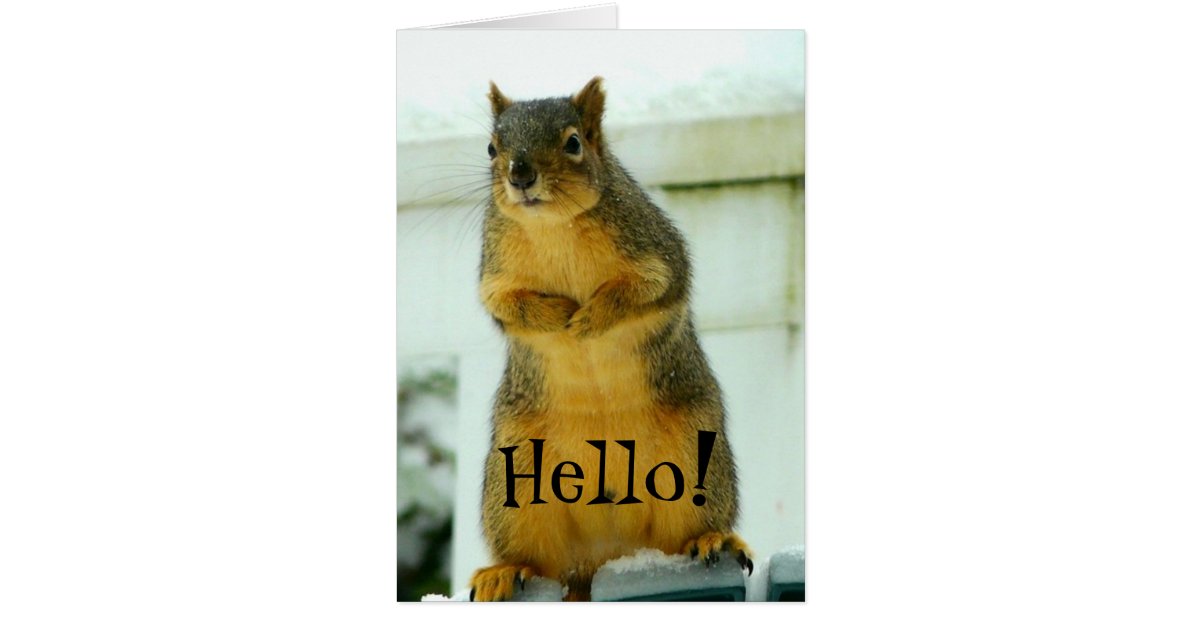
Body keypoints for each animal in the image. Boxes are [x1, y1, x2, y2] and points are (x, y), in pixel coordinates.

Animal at [469, 77, 750, 602]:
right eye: (492, 147)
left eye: (574, 143)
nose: (520, 175)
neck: (554, 227)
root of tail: (608, 552)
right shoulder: (494, 276)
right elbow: (508, 307)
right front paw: (557, 314)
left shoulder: (654, 249)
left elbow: (648, 288)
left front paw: (589, 318)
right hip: (514, 481)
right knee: (533, 556)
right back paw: (504, 571)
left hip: (695, 457)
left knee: (690, 526)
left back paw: (712, 538)